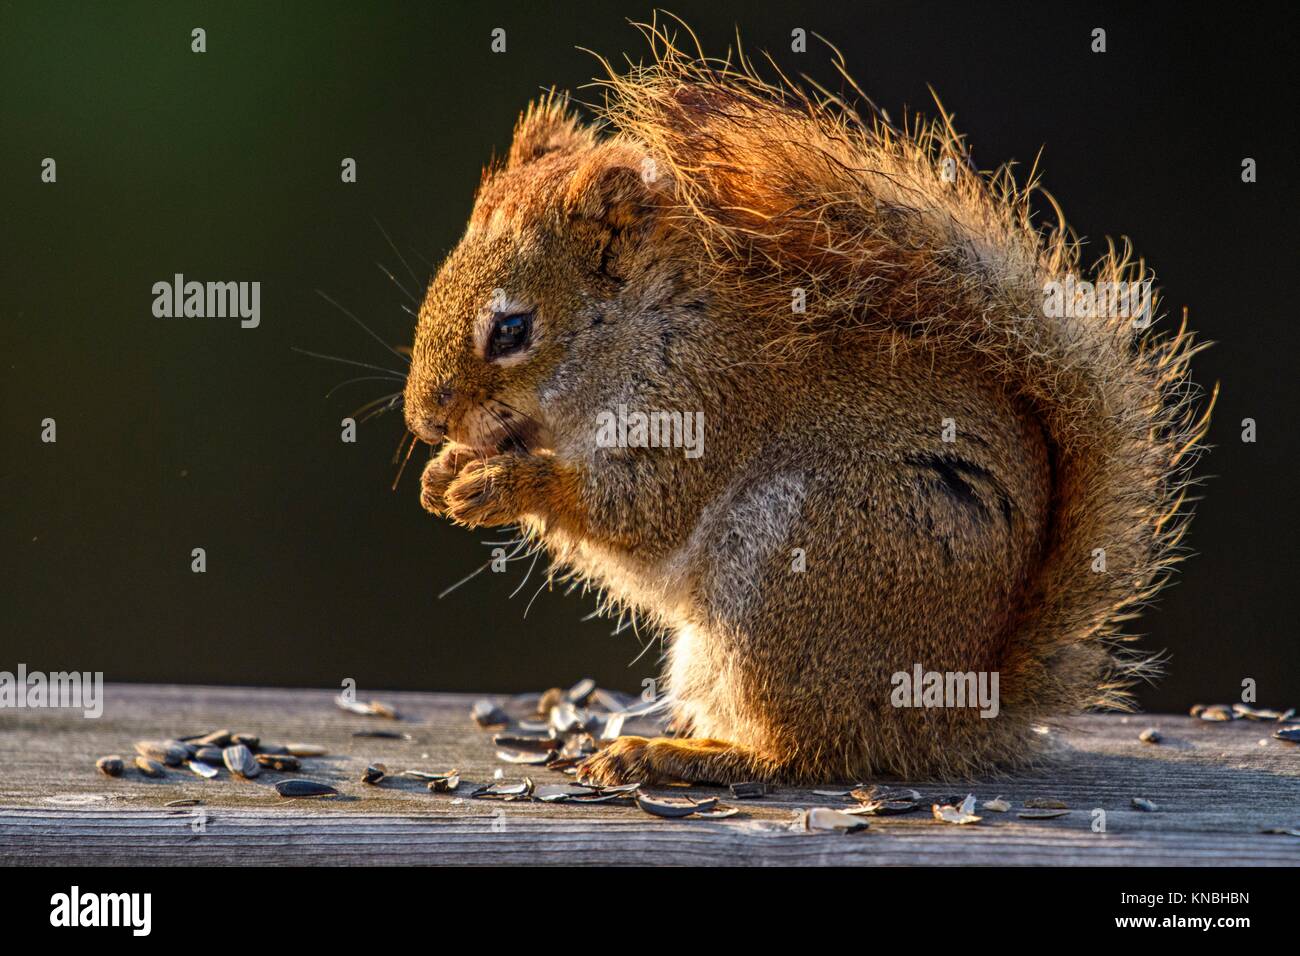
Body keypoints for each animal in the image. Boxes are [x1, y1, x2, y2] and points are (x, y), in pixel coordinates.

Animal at [402, 27, 1212, 785]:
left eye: (512, 330)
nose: (425, 421)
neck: (650, 325)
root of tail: (952, 710)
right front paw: (444, 473)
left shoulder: (704, 404)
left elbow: (636, 514)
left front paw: (504, 483)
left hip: (788, 573)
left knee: (806, 753)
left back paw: (672, 755)